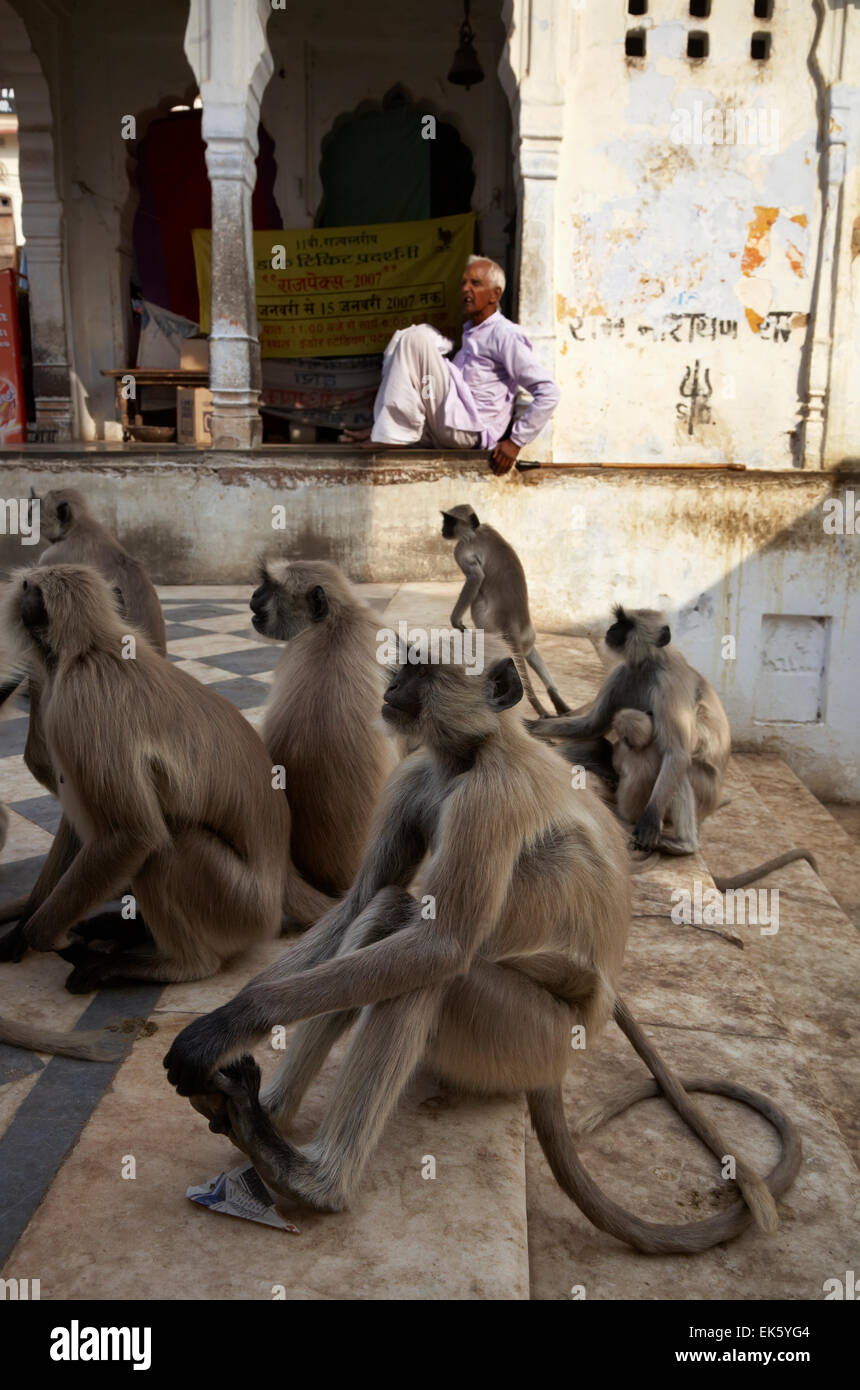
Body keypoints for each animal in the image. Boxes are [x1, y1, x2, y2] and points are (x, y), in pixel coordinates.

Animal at [0, 564, 333, 1003]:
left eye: (26, 586)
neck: (93, 647)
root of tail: (281, 875)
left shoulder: (80, 701)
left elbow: (131, 833)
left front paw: (46, 936)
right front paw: (23, 928)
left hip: (237, 904)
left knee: (165, 845)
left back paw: (174, 965)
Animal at [163, 644, 800, 1254]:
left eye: (422, 674)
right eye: (402, 668)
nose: (392, 688)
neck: (467, 757)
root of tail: (561, 1058)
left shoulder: (491, 797)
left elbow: (442, 946)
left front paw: (225, 1028)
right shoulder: (416, 776)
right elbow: (358, 901)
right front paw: (227, 1019)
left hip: (527, 1034)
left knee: (431, 962)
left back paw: (311, 1180)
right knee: (383, 911)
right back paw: (264, 1117)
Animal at [441, 504, 571, 720]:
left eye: (450, 521)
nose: (443, 529)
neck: (476, 531)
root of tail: (512, 622)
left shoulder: (462, 549)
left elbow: (475, 577)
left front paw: (455, 620)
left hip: (484, 618)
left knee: (477, 598)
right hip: (528, 636)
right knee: (529, 653)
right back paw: (558, 701)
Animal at [531, 606, 816, 887]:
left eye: (626, 624)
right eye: (618, 621)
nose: (612, 629)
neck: (650, 663)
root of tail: (709, 809)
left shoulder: (669, 686)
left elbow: (676, 753)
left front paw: (649, 820)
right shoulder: (623, 673)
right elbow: (592, 726)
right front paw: (531, 725)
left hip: (704, 790)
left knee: (677, 768)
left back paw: (683, 844)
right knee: (598, 746)